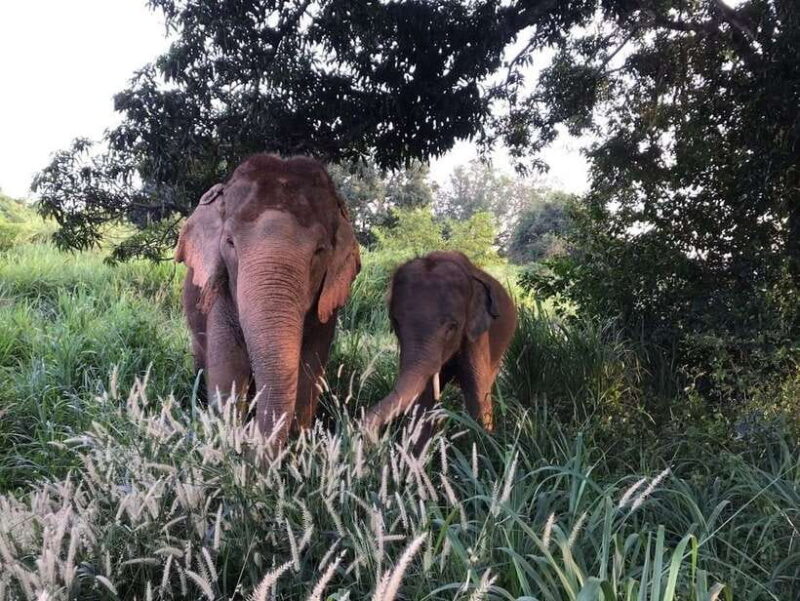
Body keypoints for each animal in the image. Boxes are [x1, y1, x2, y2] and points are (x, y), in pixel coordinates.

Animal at [175, 154, 360, 444]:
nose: (254, 447)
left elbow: (309, 373)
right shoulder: (222, 294)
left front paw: (297, 446)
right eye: (229, 242)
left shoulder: (325, 312)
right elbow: (228, 371)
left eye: (320, 250)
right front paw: (230, 438)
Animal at [362, 251, 517, 442]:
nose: (373, 437)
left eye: (452, 327)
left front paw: (482, 441)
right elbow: (425, 398)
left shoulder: (477, 335)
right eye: (395, 322)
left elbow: (476, 390)